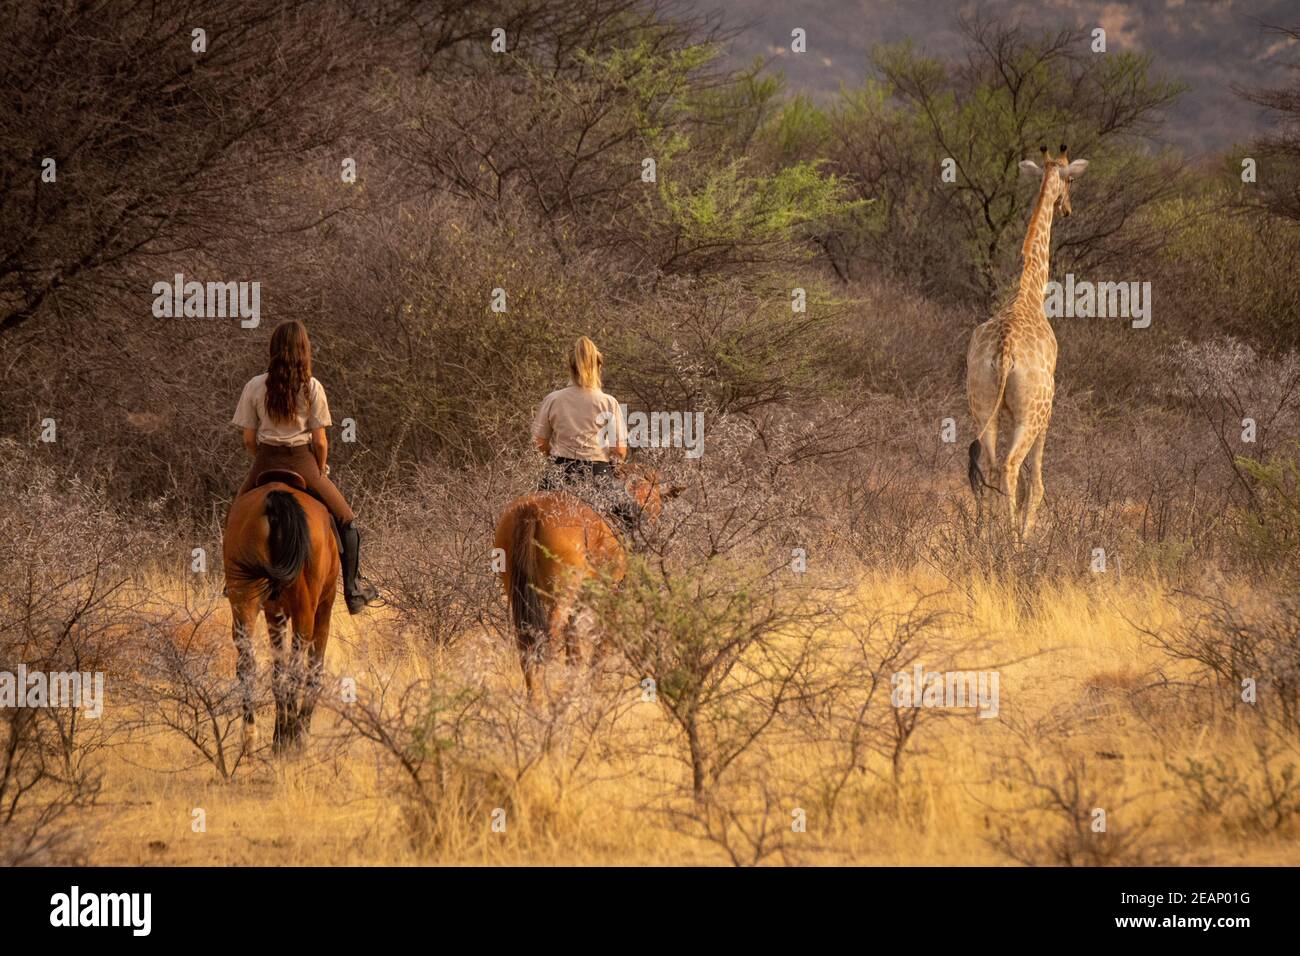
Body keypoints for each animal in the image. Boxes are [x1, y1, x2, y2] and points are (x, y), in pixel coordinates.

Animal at [222, 469, 340, 751]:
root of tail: (274, 499)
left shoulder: (273, 614)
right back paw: (292, 739)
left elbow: (278, 671)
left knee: (247, 664)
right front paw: (295, 734)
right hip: (306, 609)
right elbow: (313, 670)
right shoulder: (324, 609)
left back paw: (250, 737)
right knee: (298, 669)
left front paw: (279, 735)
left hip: (245, 600)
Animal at [493, 465, 681, 695]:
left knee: (526, 649)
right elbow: (602, 643)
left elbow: (574, 653)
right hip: (561, 598)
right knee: (546, 645)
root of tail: (531, 508)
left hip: (520, 594)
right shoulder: (613, 594)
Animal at [966, 144, 1088, 539]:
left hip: (981, 403)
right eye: (1071, 180)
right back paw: (1012, 542)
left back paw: (981, 537)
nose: (1066, 209)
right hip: (1032, 411)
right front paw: (1025, 534)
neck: (1030, 293)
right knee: (1010, 465)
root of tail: (1005, 353)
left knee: (989, 462)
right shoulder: (1047, 411)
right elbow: (1036, 481)